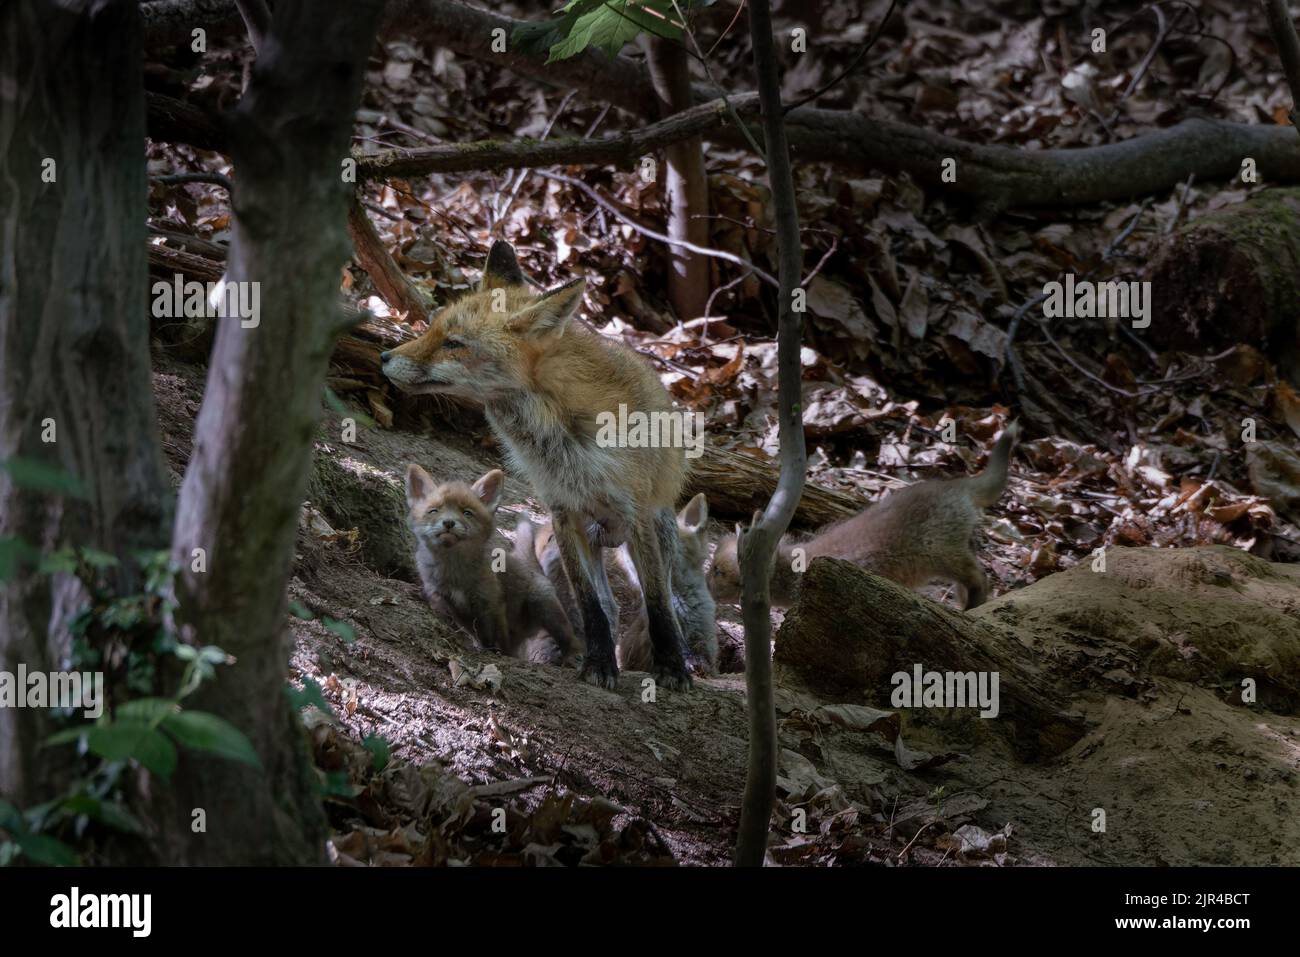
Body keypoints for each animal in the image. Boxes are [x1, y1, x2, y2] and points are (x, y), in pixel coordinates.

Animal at [404, 464, 577, 663]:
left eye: (467, 513)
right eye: (434, 511)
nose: (448, 522)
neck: (454, 571)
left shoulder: (491, 603)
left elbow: (496, 635)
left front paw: (496, 653)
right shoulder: (444, 598)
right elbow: (473, 632)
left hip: (544, 607)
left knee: (569, 639)